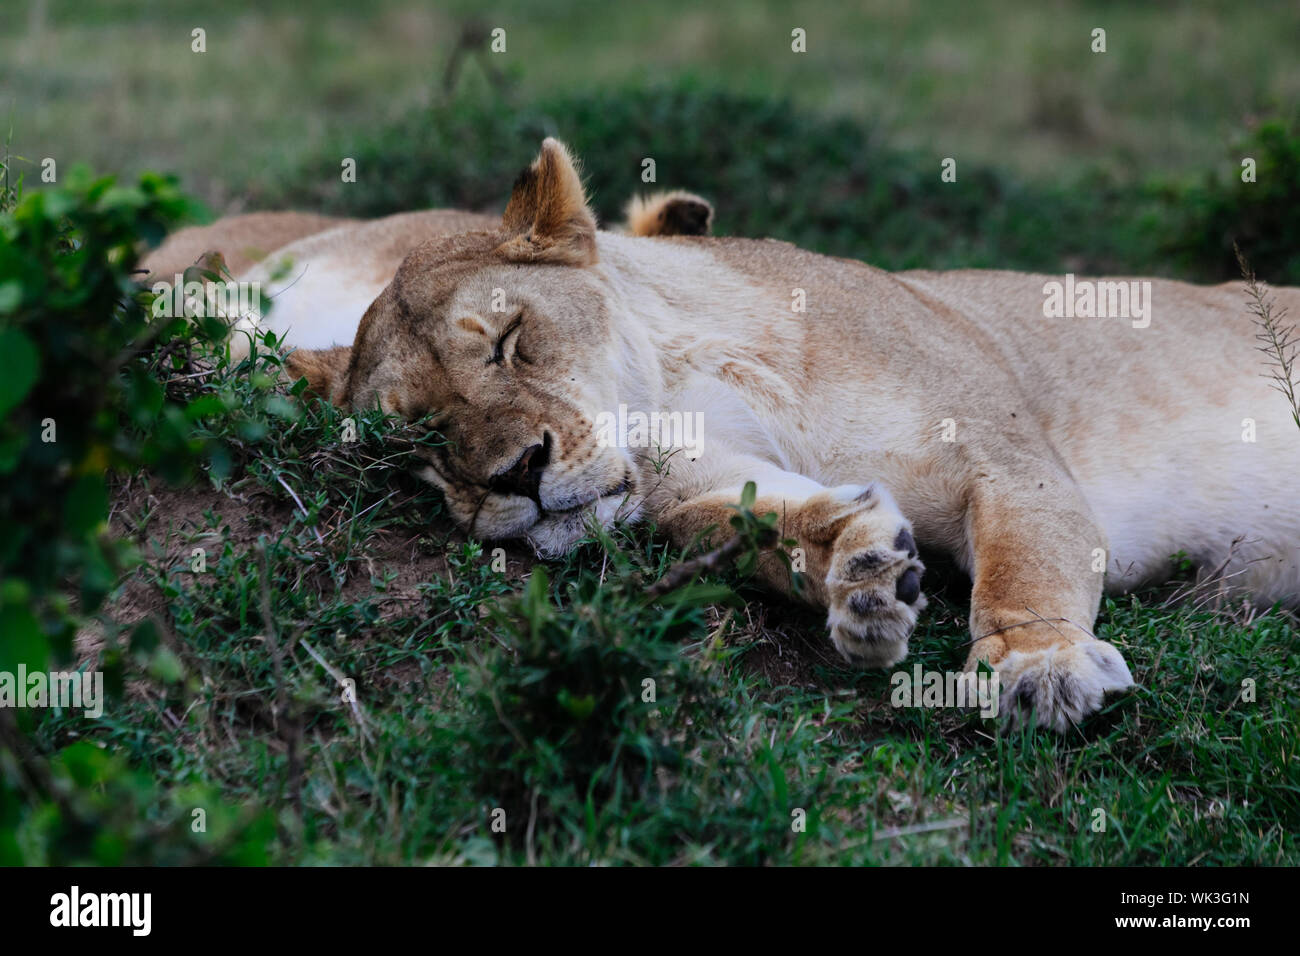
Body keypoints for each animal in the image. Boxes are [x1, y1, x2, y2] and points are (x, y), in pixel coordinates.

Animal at [152, 139, 1300, 731]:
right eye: (418, 447)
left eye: (511, 342)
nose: (516, 476)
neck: (684, 374)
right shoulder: (698, 483)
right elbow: (752, 524)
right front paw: (857, 572)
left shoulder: (1007, 454)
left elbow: (1029, 558)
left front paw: (1037, 666)